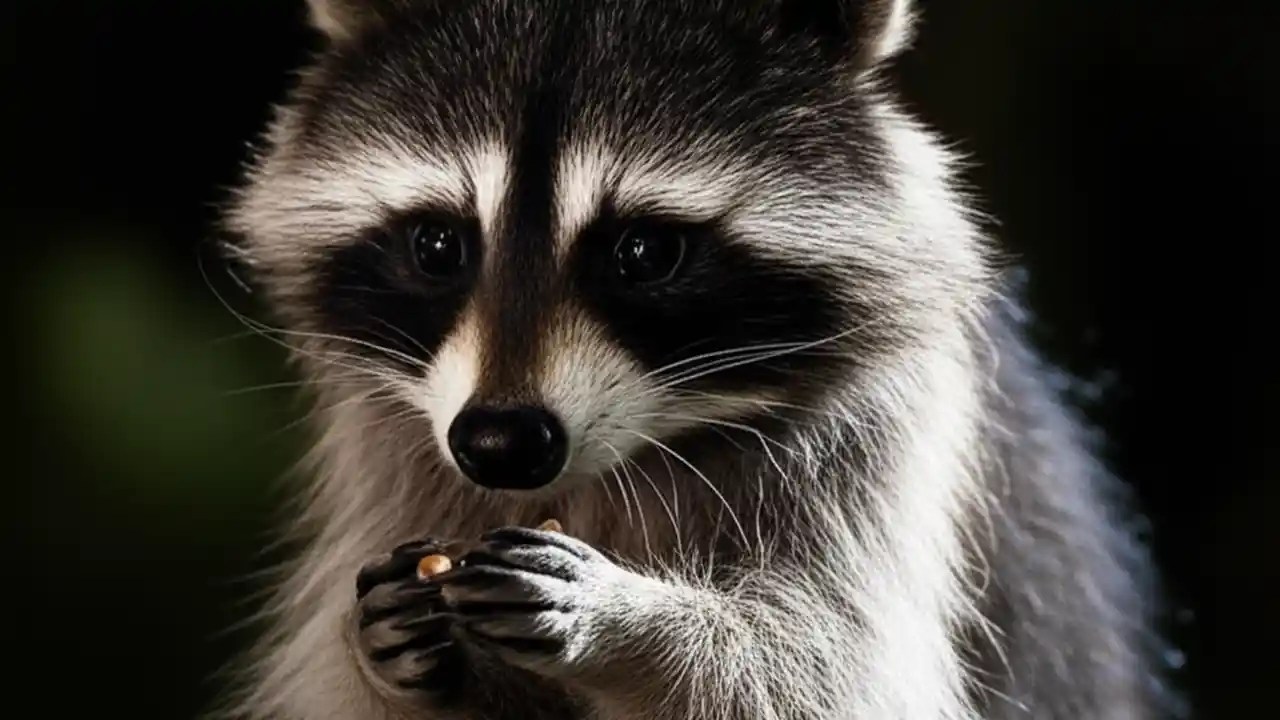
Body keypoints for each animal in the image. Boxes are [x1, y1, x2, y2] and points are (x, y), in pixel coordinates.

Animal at [215, 1, 1182, 718]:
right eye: (438, 244)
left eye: (643, 253)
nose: (501, 444)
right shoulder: (397, 458)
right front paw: (377, 659)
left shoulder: (888, 443)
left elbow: (833, 667)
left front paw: (635, 628)